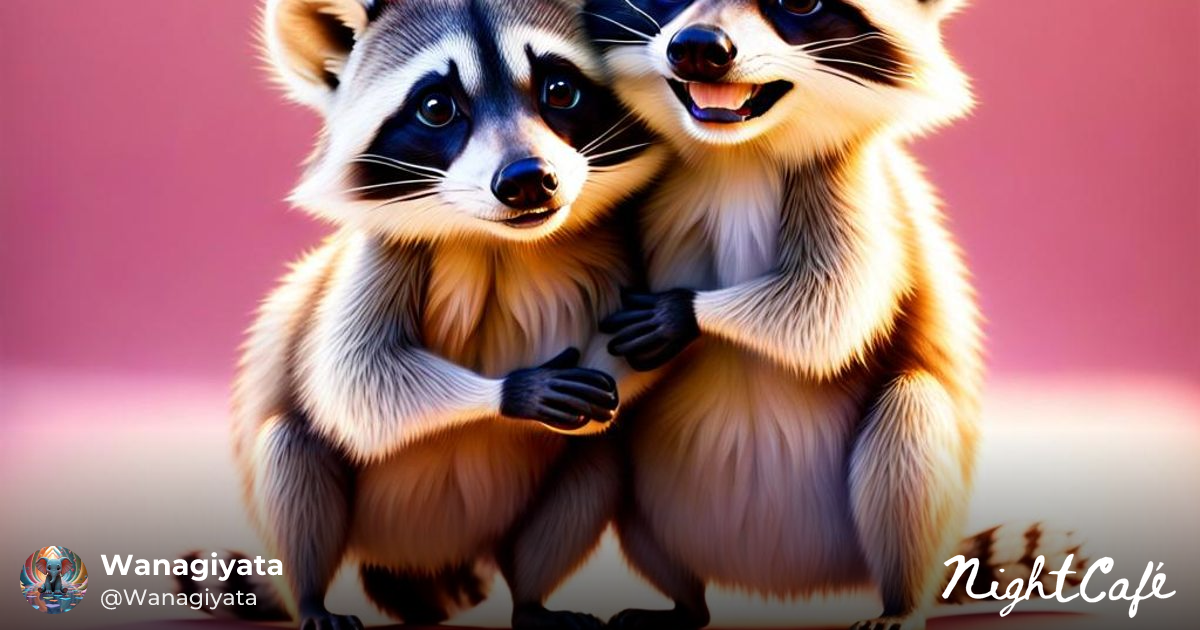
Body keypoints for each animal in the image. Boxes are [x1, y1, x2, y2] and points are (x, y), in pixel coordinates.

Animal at [231, 1, 665, 628]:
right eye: (436, 108)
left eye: (560, 90)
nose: (527, 181)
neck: (499, 244)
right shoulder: (383, 258)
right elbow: (354, 380)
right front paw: (518, 390)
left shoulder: (618, 237)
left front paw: (658, 332)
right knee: (294, 447)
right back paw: (311, 595)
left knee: (596, 458)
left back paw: (532, 600)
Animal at [584, 1, 986, 629]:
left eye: (800, 5)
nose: (698, 48)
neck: (736, 153)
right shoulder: (638, 201)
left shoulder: (849, 188)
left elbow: (831, 309)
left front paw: (685, 316)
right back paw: (684, 603)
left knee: (910, 416)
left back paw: (901, 600)